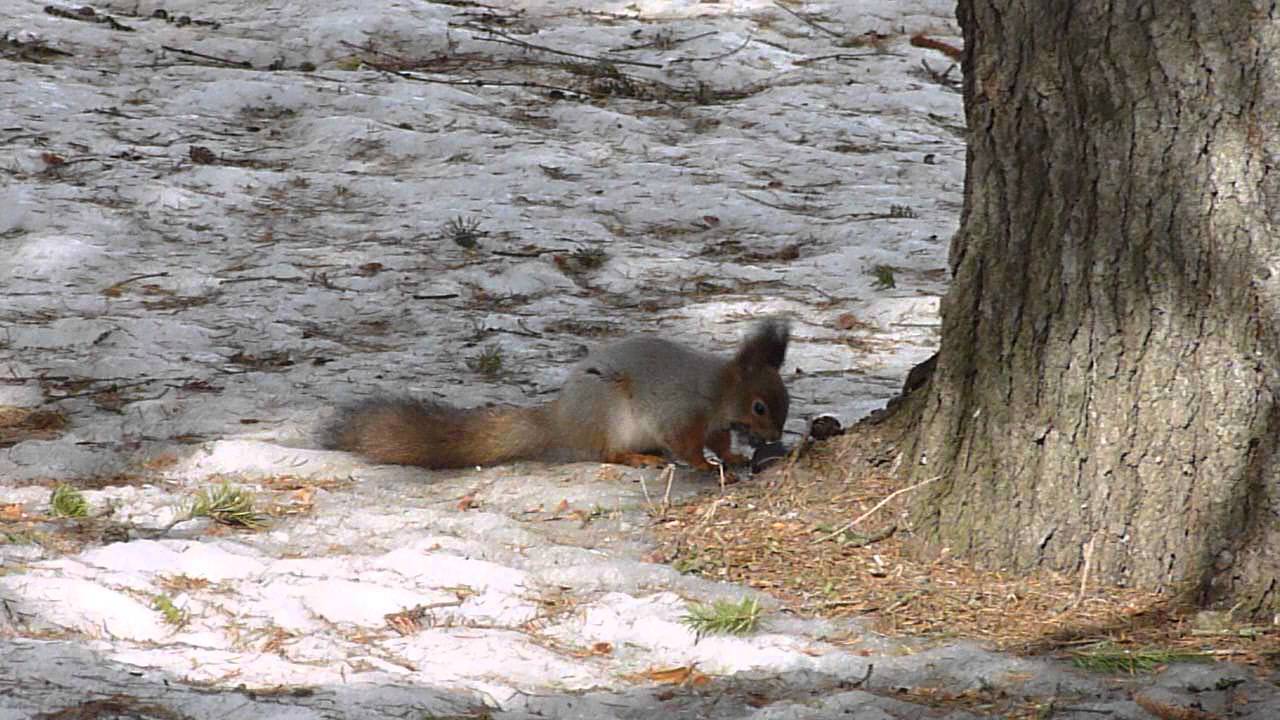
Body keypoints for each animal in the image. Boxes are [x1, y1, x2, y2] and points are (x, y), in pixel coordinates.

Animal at [321, 319, 791, 471]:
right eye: (759, 406)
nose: (773, 439)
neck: (719, 390)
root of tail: (561, 420)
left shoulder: (714, 424)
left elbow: (718, 440)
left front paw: (731, 457)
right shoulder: (682, 412)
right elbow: (686, 443)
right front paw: (705, 465)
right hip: (608, 415)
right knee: (604, 454)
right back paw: (636, 458)